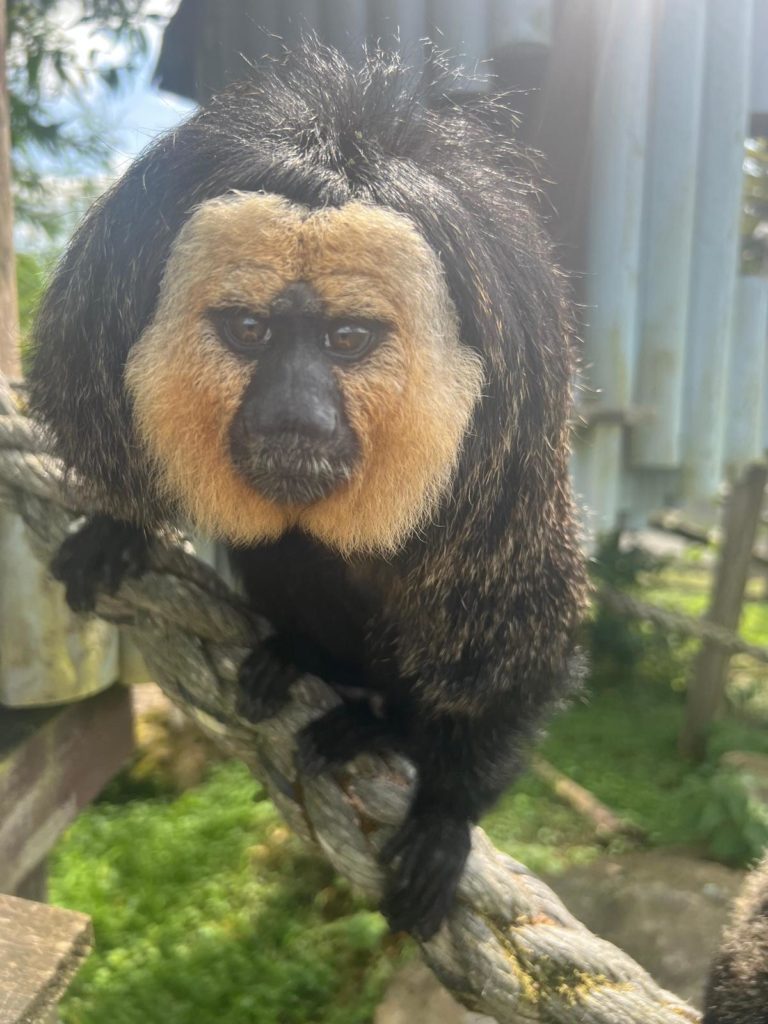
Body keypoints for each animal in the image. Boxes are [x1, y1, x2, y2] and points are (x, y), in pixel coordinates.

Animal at [27, 41, 588, 941]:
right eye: (250, 330)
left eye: (347, 339)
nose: (294, 413)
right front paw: (122, 533)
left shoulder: (499, 493)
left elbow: (521, 656)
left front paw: (444, 818)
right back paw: (300, 659)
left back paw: (370, 723)